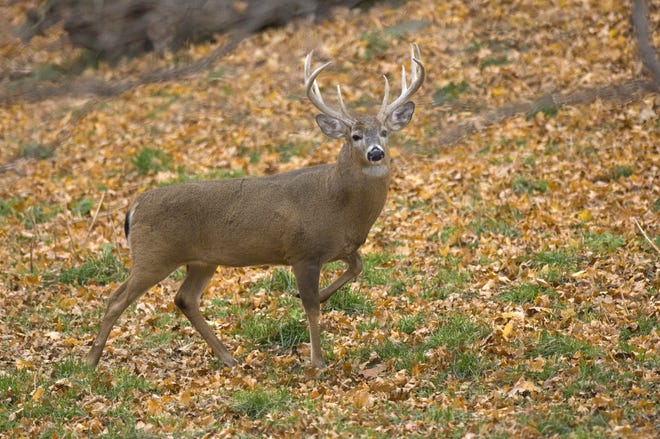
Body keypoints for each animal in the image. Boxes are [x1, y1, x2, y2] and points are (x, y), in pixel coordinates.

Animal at [85, 44, 425, 370]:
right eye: (355, 136)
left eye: (384, 132)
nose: (376, 153)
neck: (338, 204)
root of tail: (135, 207)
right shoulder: (303, 253)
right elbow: (312, 308)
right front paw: (317, 361)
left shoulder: (339, 248)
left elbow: (356, 267)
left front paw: (321, 298)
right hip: (153, 255)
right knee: (116, 299)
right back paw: (91, 360)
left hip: (202, 260)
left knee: (184, 298)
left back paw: (228, 357)